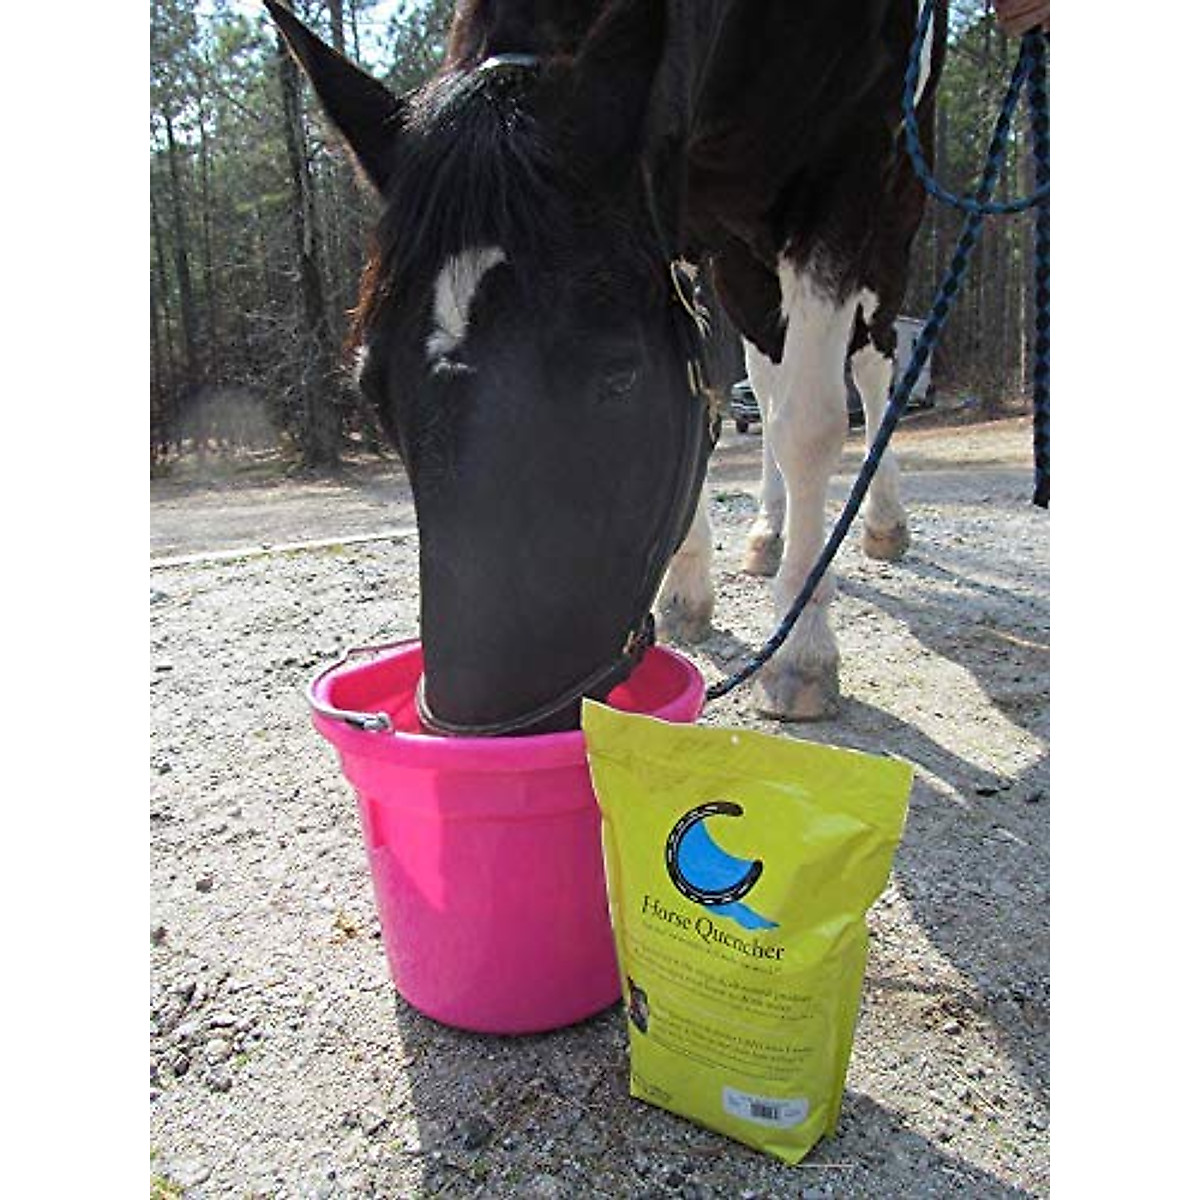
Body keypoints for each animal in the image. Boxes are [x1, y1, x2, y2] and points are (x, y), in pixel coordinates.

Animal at [266, 0, 947, 733]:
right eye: (372, 390)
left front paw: (803, 648)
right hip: (744, 254)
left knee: (870, 369)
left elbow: (812, 427)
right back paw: (768, 532)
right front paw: (689, 587)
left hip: (891, 209)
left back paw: (880, 523)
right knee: (766, 382)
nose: (496, 731)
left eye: (618, 375)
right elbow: (718, 398)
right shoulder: (675, 202)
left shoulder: (843, 172)